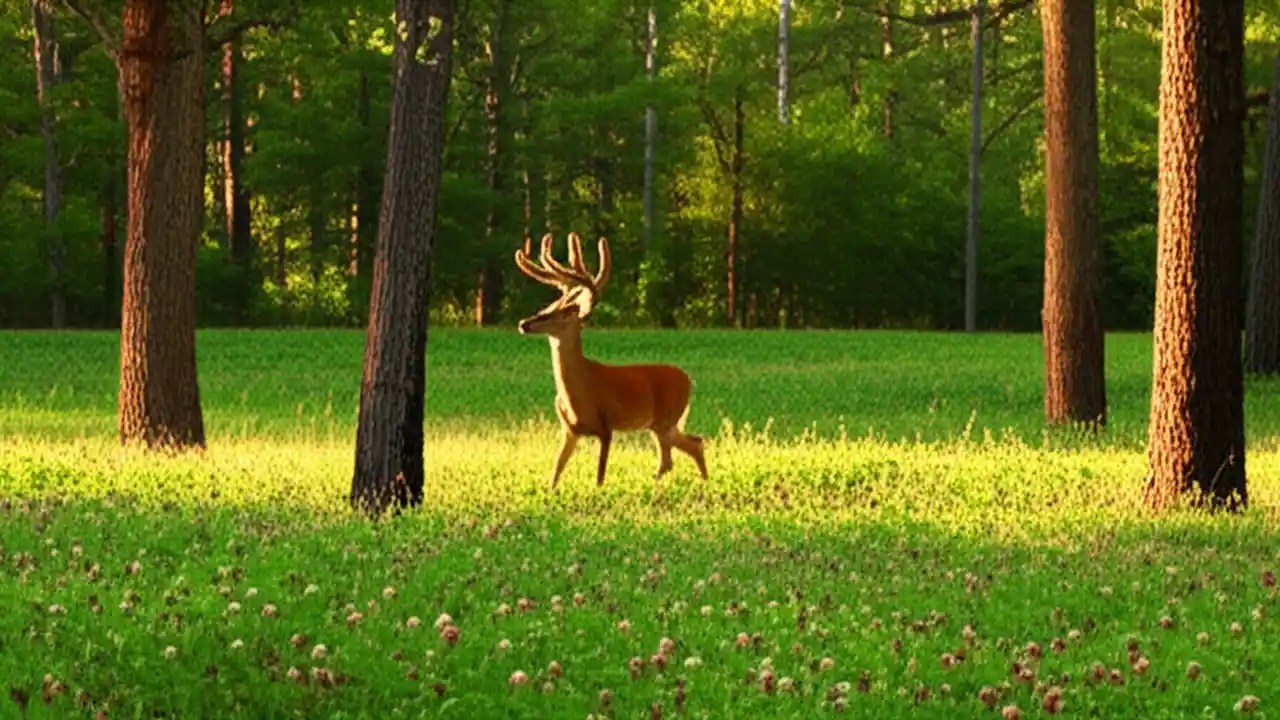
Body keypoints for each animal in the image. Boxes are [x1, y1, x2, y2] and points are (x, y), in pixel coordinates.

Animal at [514, 232, 709, 491]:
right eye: (550, 306)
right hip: (665, 423)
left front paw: (598, 492)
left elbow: (599, 475)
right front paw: (549, 492)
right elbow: (556, 469)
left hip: (665, 419)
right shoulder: (569, 429)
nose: (524, 323)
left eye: (563, 313)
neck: (580, 390)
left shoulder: (606, 427)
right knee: (690, 445)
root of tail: (689, 380)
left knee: (671, 457)